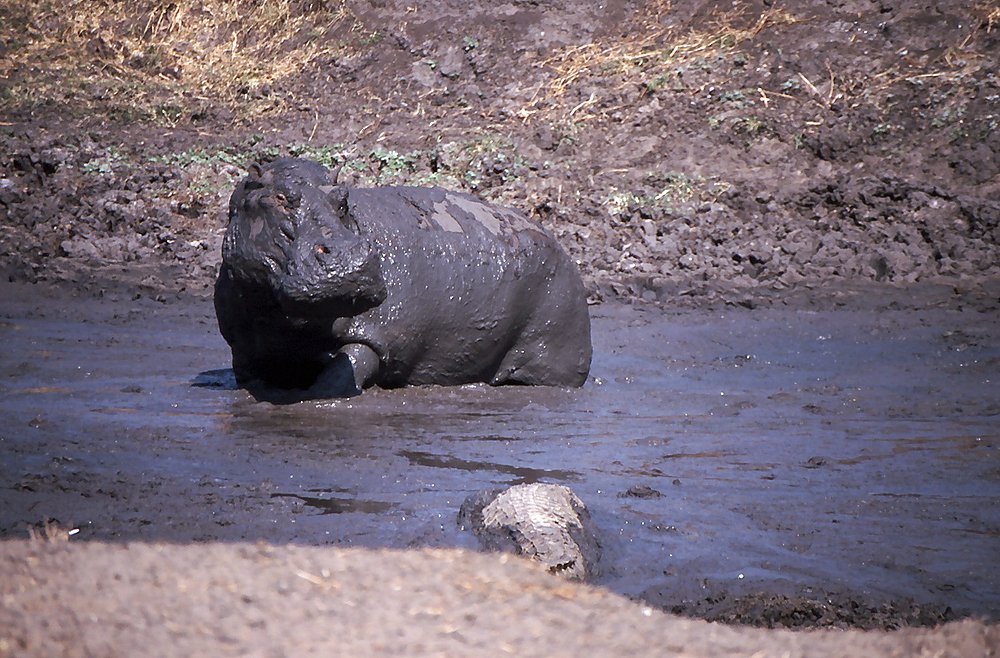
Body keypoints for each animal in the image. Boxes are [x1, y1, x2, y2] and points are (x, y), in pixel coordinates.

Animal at [214, 157, 592, 398]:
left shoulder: (377, 339)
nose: (349, 255)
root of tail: (565, 252)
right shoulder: (244, 351)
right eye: (279, 198)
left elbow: (339, 376)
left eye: (343, 200)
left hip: (554, 350)